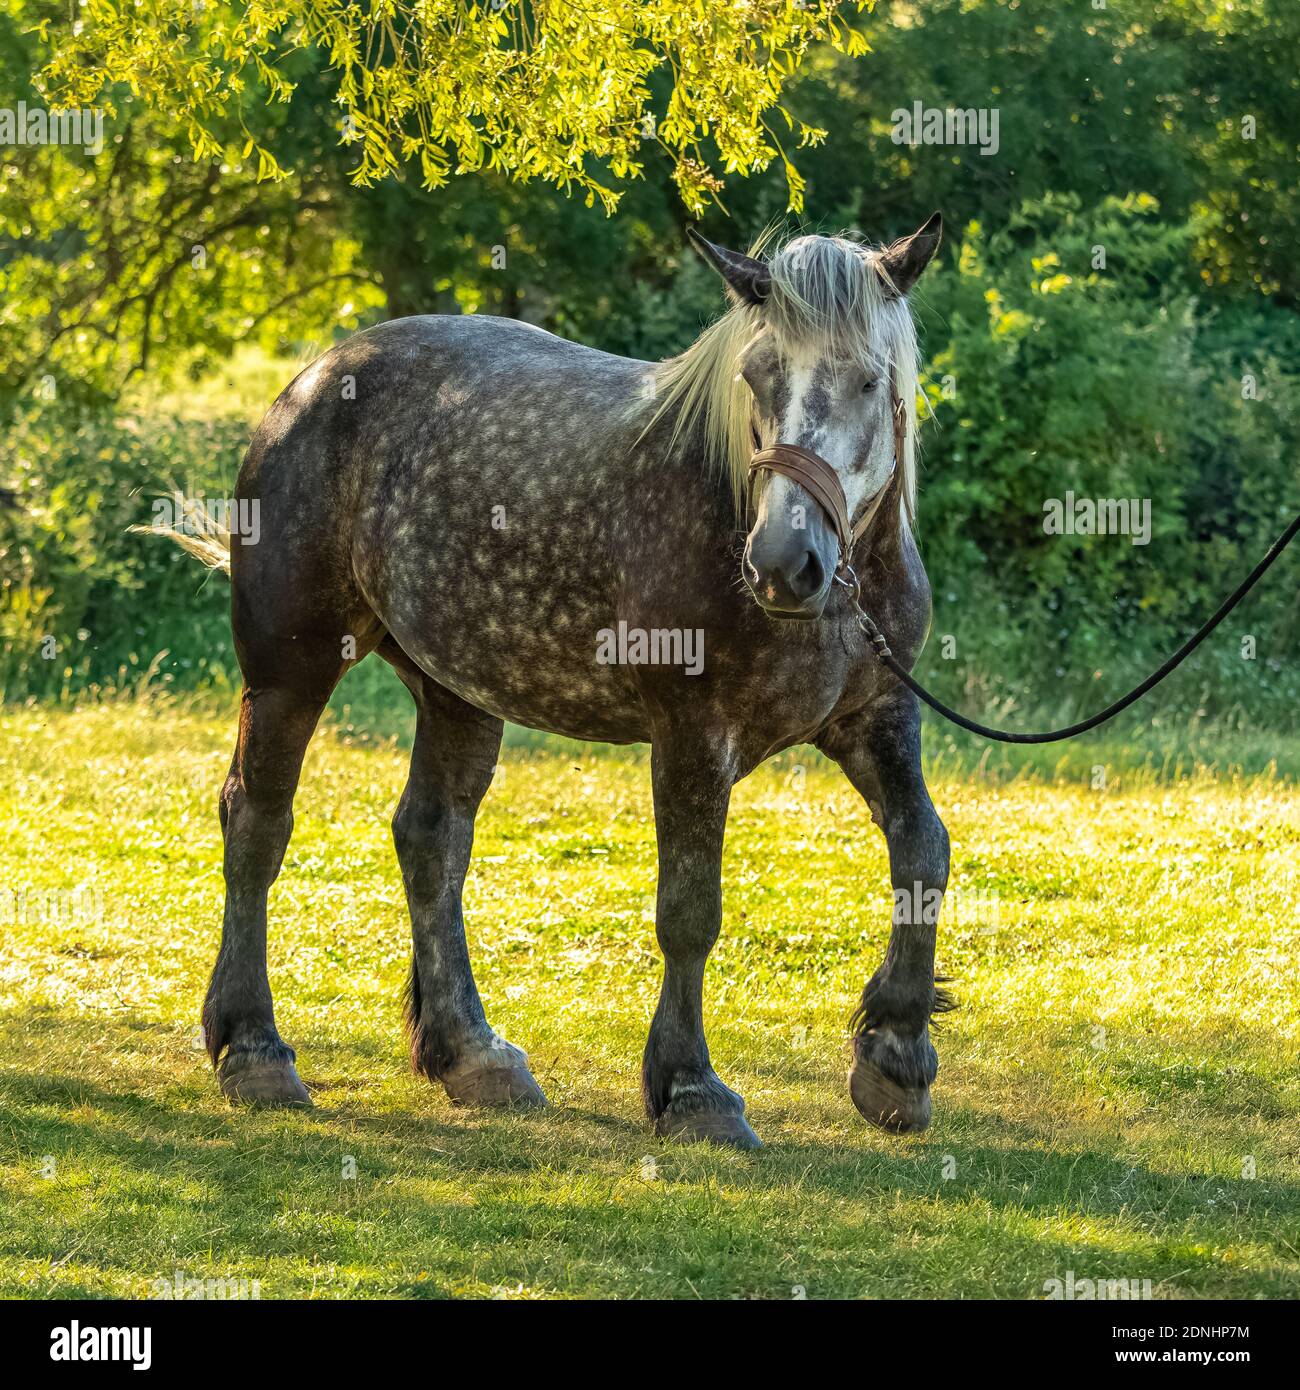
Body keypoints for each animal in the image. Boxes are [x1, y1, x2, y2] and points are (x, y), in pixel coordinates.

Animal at [163, 213, 949, 1149]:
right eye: (755, 377)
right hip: (292, 668)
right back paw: (254, 1050)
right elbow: (690, 910)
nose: (782, 562)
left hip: (456, 690)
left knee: (431, 840)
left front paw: (895, 1053)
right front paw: (692, 1089)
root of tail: (312, 382)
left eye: (869, 380)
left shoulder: (878, 717)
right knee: (257, 822)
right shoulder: (692, 735)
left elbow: (924, 855)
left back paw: (471, 1054)